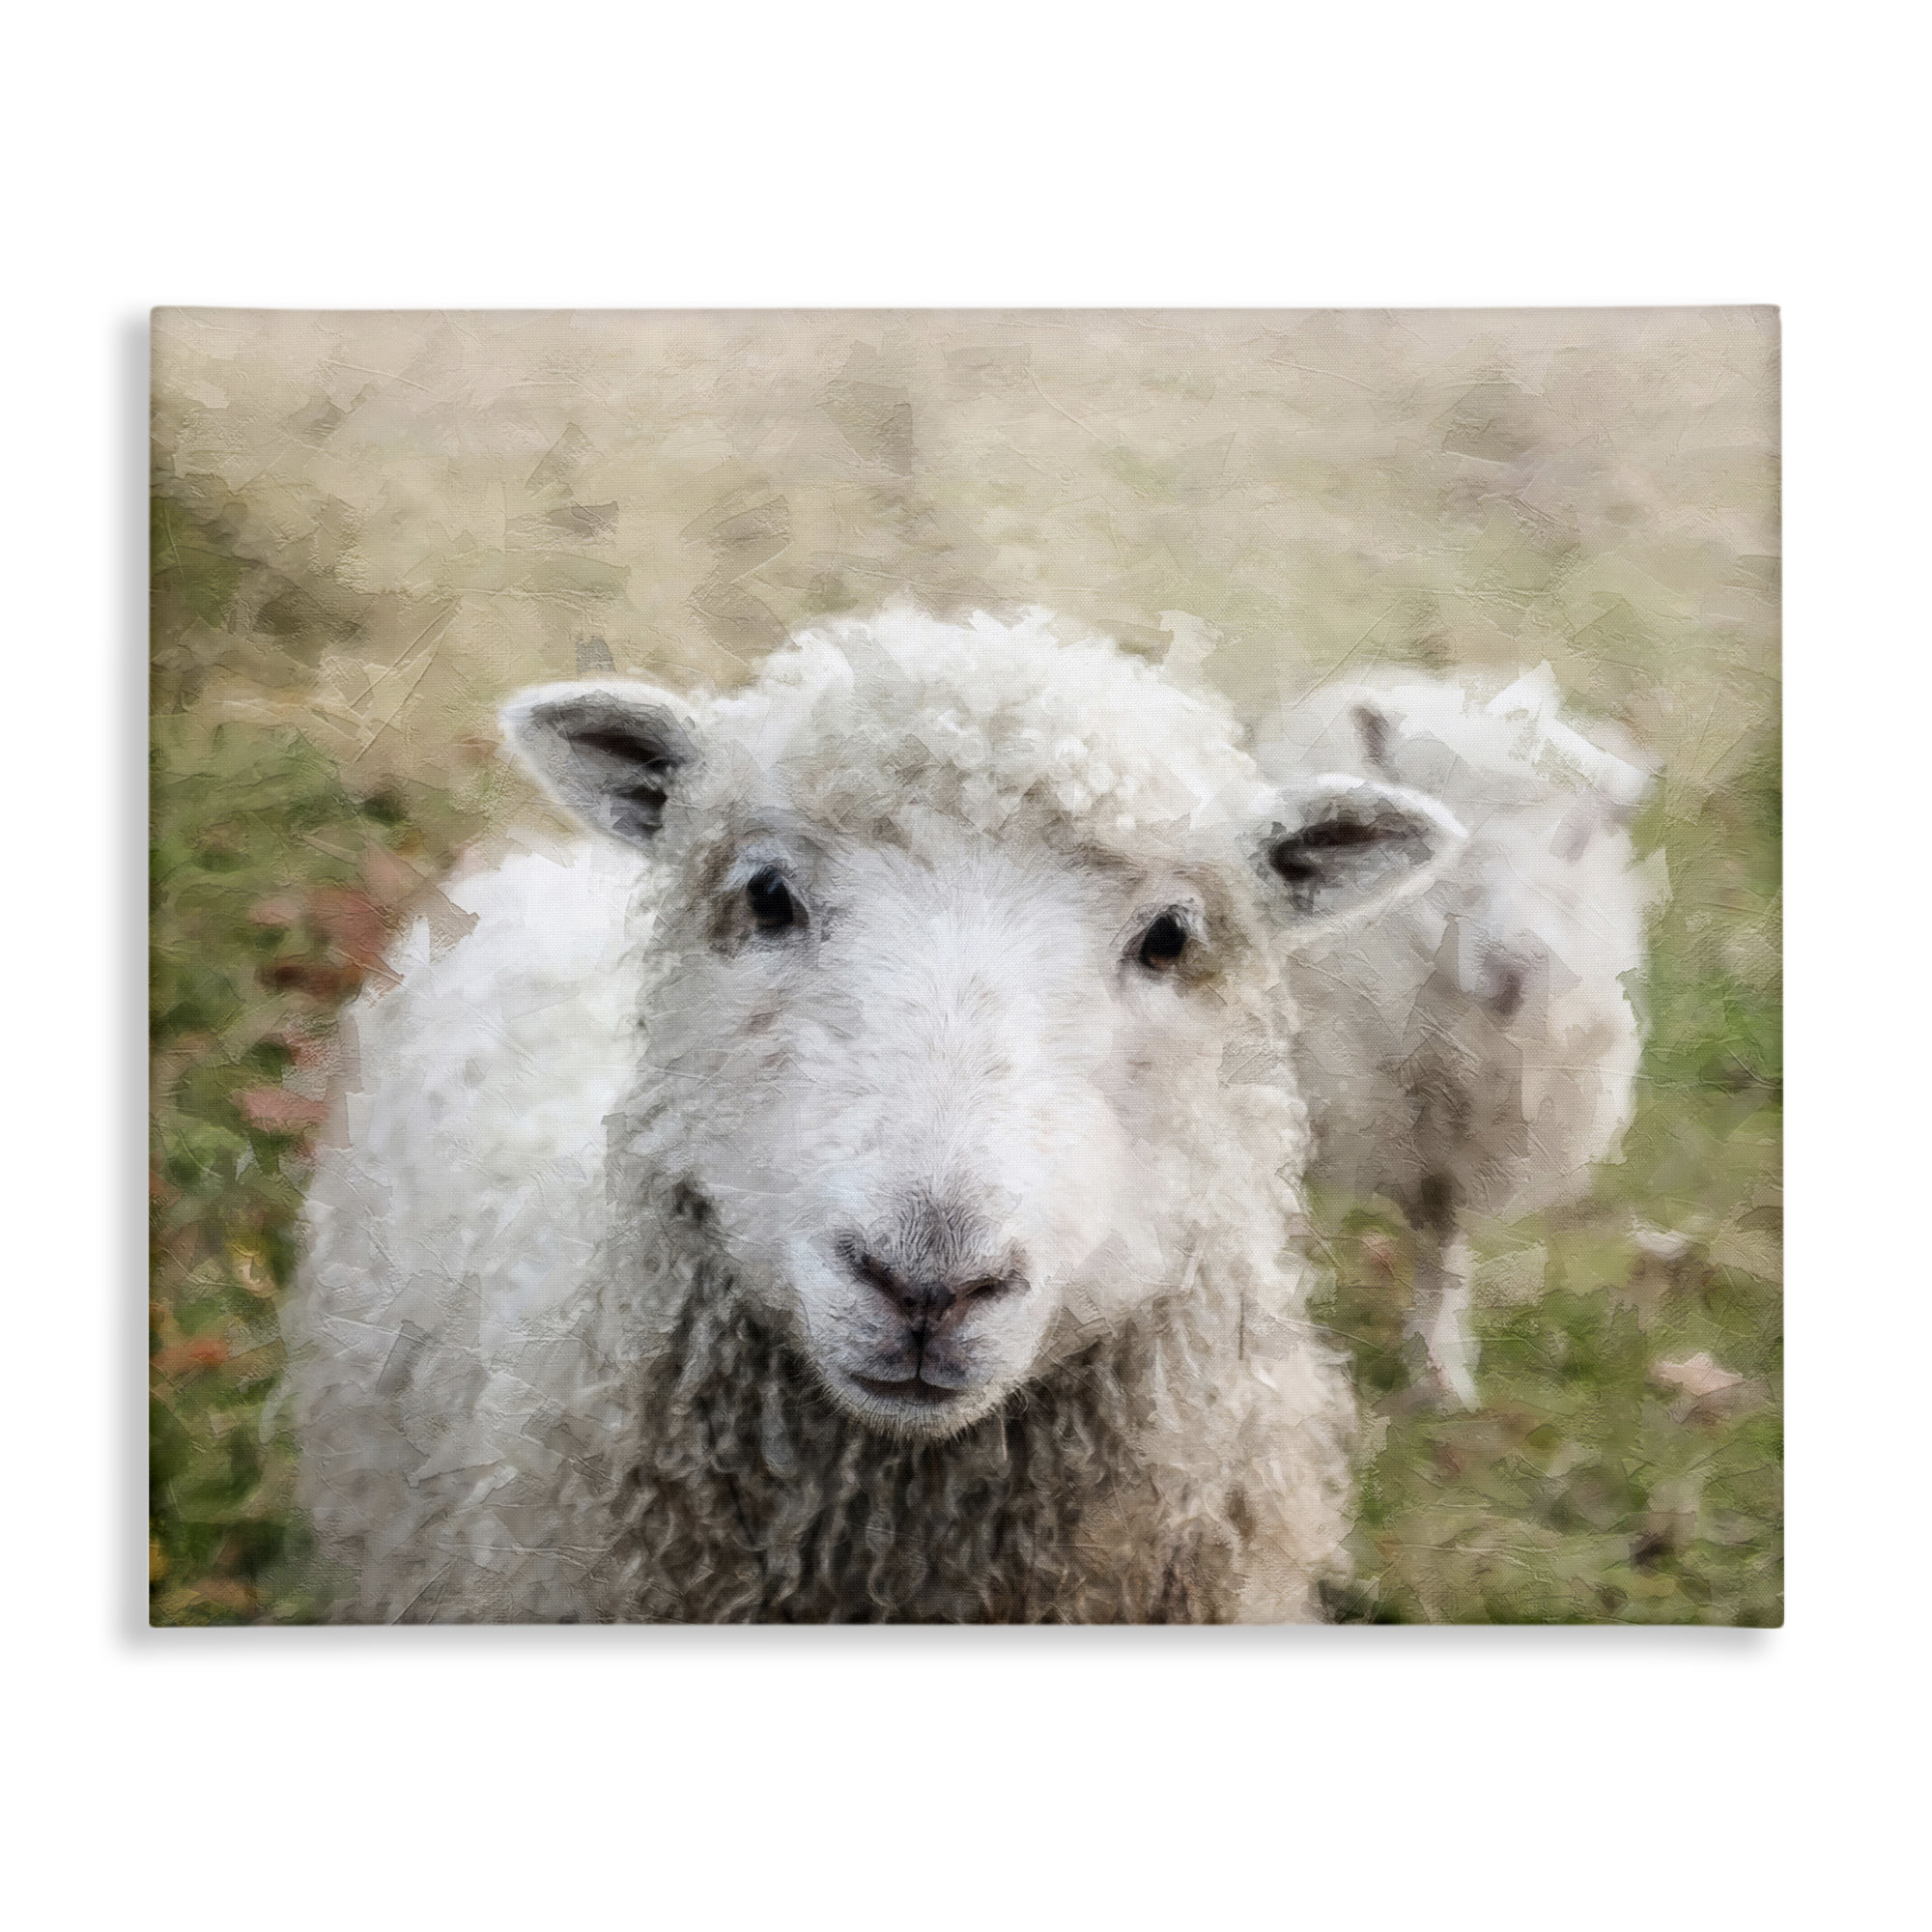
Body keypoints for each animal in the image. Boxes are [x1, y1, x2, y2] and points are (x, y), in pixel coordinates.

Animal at [1250, 667, 1661, 1408]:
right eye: (1452, 833)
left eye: (1577, 839)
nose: (1514, 969)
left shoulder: (1469, 1142)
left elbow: (1445, 1242)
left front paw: (1440, 1373)